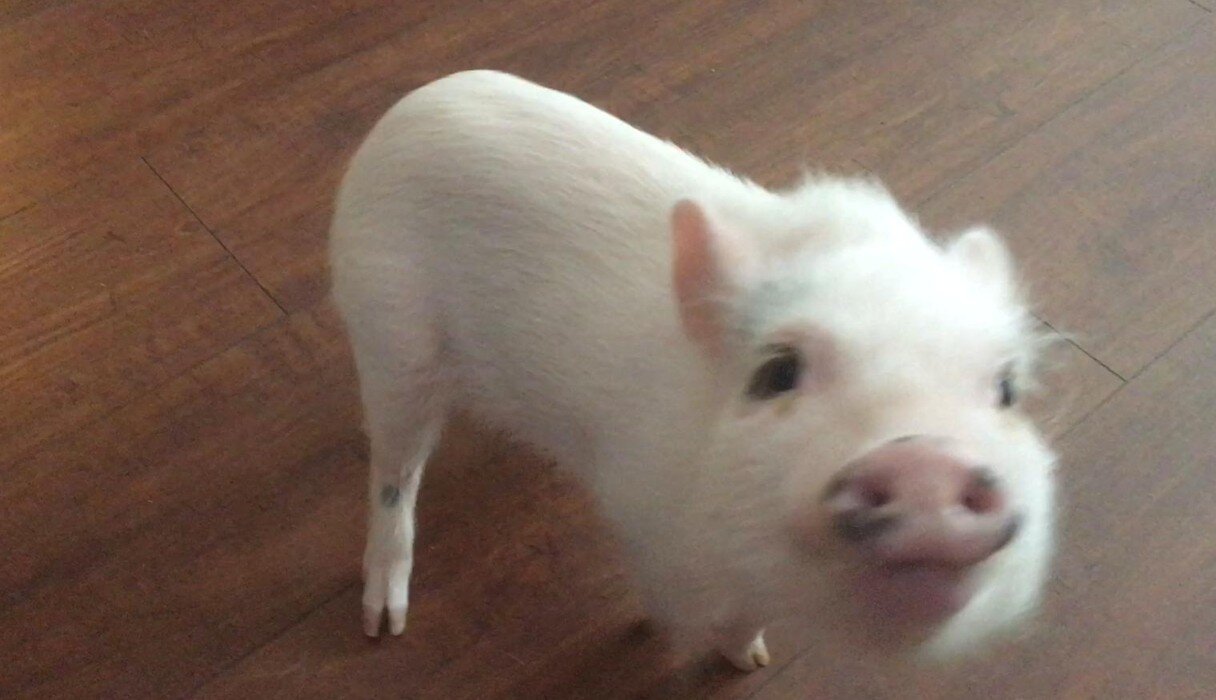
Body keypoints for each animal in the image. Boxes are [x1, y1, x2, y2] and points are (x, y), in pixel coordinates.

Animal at [329, 70, 1057, 671]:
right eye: (777, 373)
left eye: (1005, 390)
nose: (928, 460)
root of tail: (410, 108)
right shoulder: (646, 521)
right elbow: (681, 612)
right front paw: (711, 655)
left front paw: (754, 661)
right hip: (389, 330)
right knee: (393, 470)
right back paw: (383, 624)